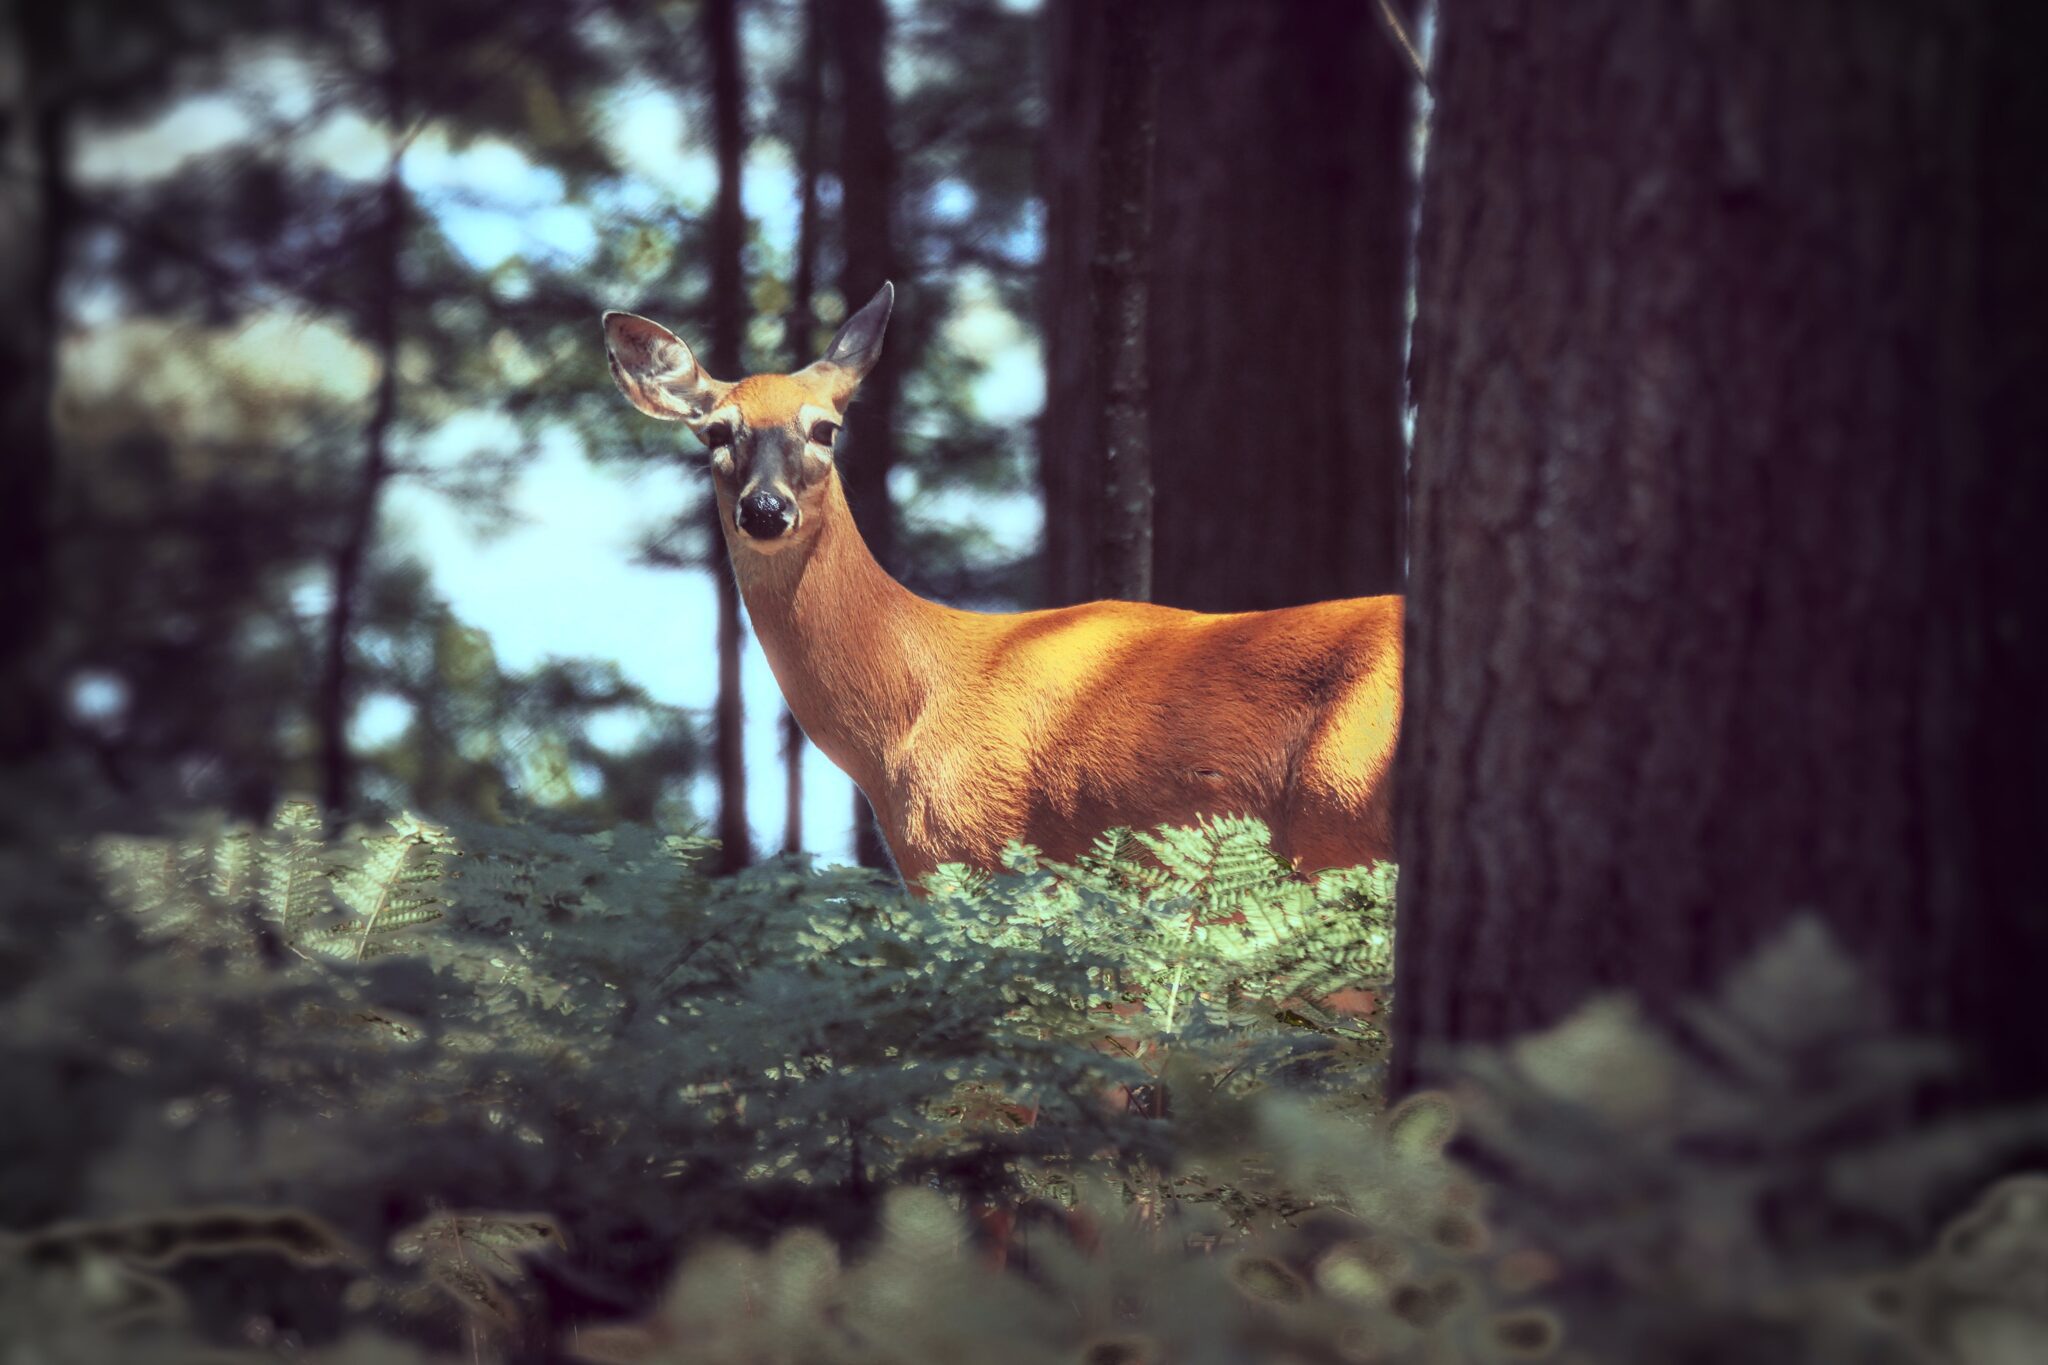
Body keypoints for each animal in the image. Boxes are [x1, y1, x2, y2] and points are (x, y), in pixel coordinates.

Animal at [601, 283, 1401, 886]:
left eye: (825, 428)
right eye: (716, 432)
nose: (766, 509)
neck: (906, 714)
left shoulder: (978, 851)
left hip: (1345, 816)